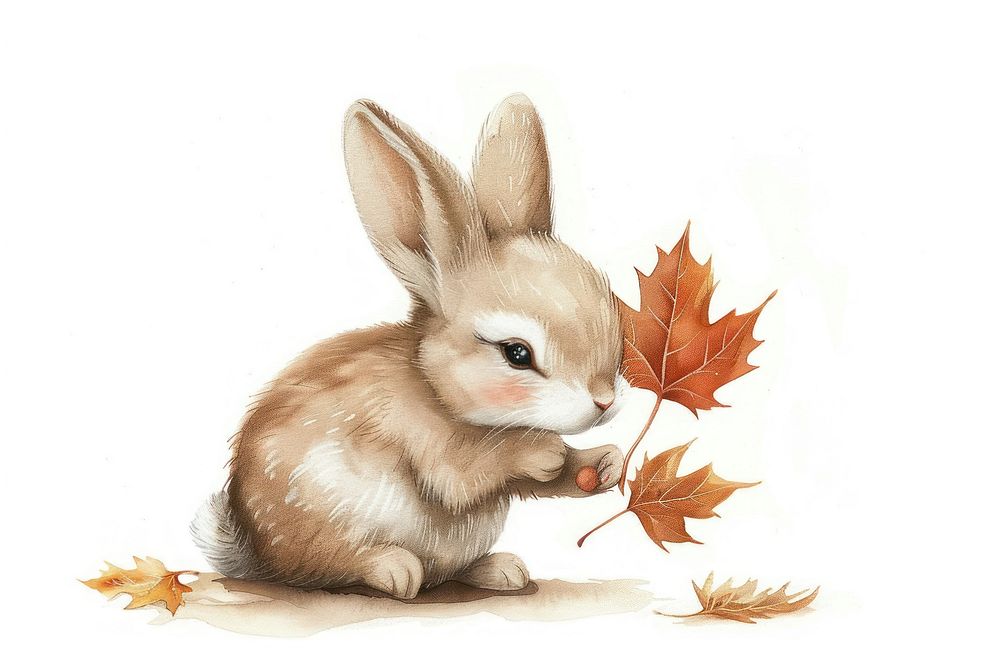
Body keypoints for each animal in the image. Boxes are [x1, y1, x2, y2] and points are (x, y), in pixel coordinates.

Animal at [191, 94, 626, 599]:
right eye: (517, 354)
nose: (604, 401)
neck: (435, 385)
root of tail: (252, 550)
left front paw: (607, 463)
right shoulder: (435, 449)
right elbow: (467, 472)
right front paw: (544, 451)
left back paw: (501, 570)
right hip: (321, 519)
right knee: (325, 568)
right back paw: (394, 569)